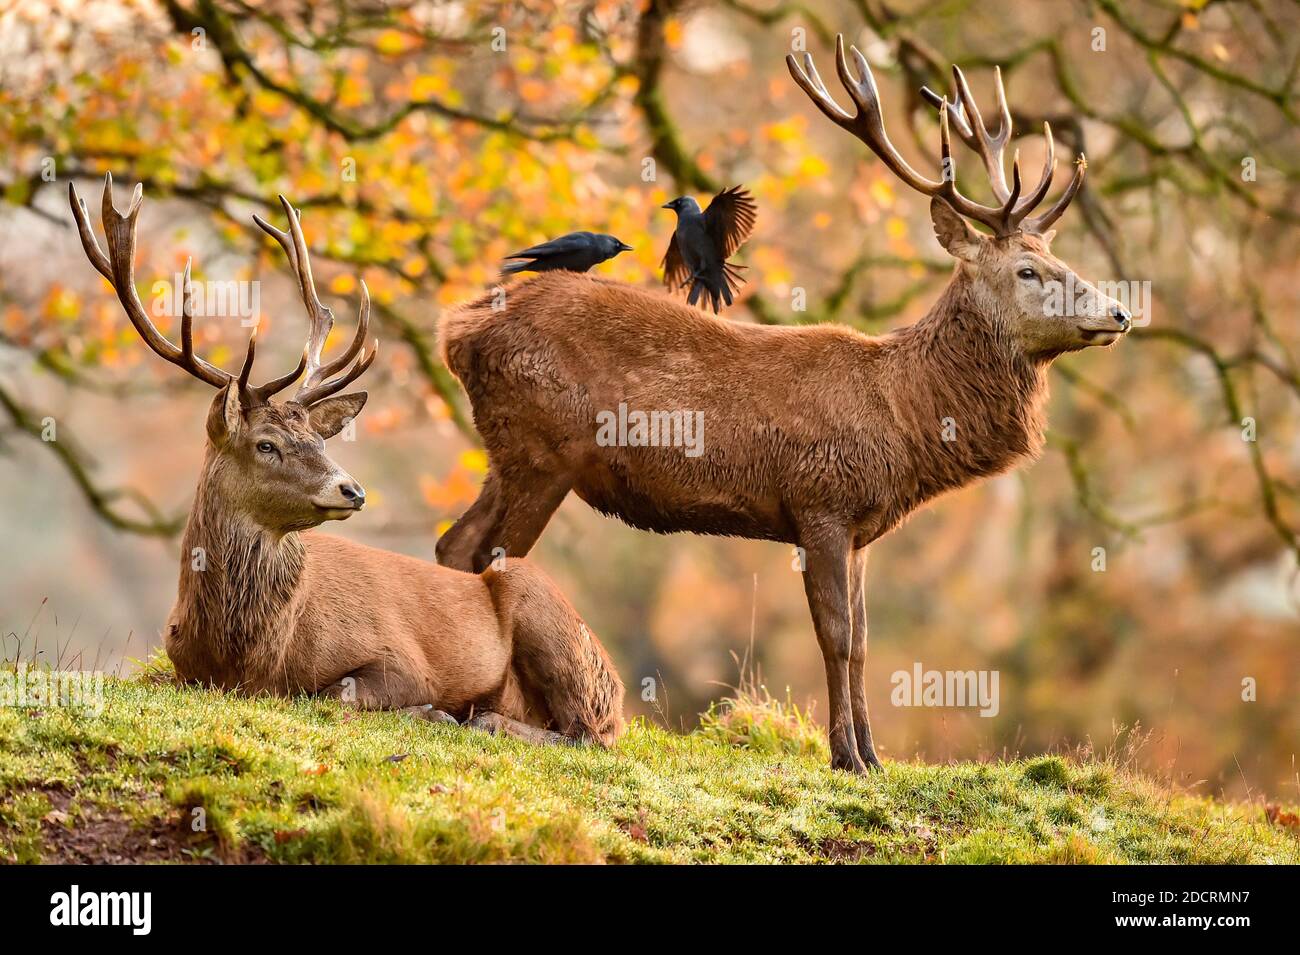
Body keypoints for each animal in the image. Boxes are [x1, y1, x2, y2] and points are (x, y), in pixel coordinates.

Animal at [69, 175, 624, 747]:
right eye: (266, 444)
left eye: (320, 440)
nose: (352, 489)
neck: (249, 658)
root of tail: (617, 680)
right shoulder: (180, 664)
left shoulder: (401, 658)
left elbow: (333, 695)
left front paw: (433, 712)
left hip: (548, 614)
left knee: (588, 732)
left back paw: (483, 718)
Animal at [435, 36, 1131, 774]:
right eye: (1028, 270)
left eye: (1059, 258)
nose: (1119, 311)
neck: (904, 418)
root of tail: (458, 330)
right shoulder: (819, 502)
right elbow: (835, 636)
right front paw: (846, 756)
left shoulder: (862, 530)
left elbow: (863, 641)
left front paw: (872, 757)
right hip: (544, 450)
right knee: (490, 555)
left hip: (505, 451)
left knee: (455, 542)